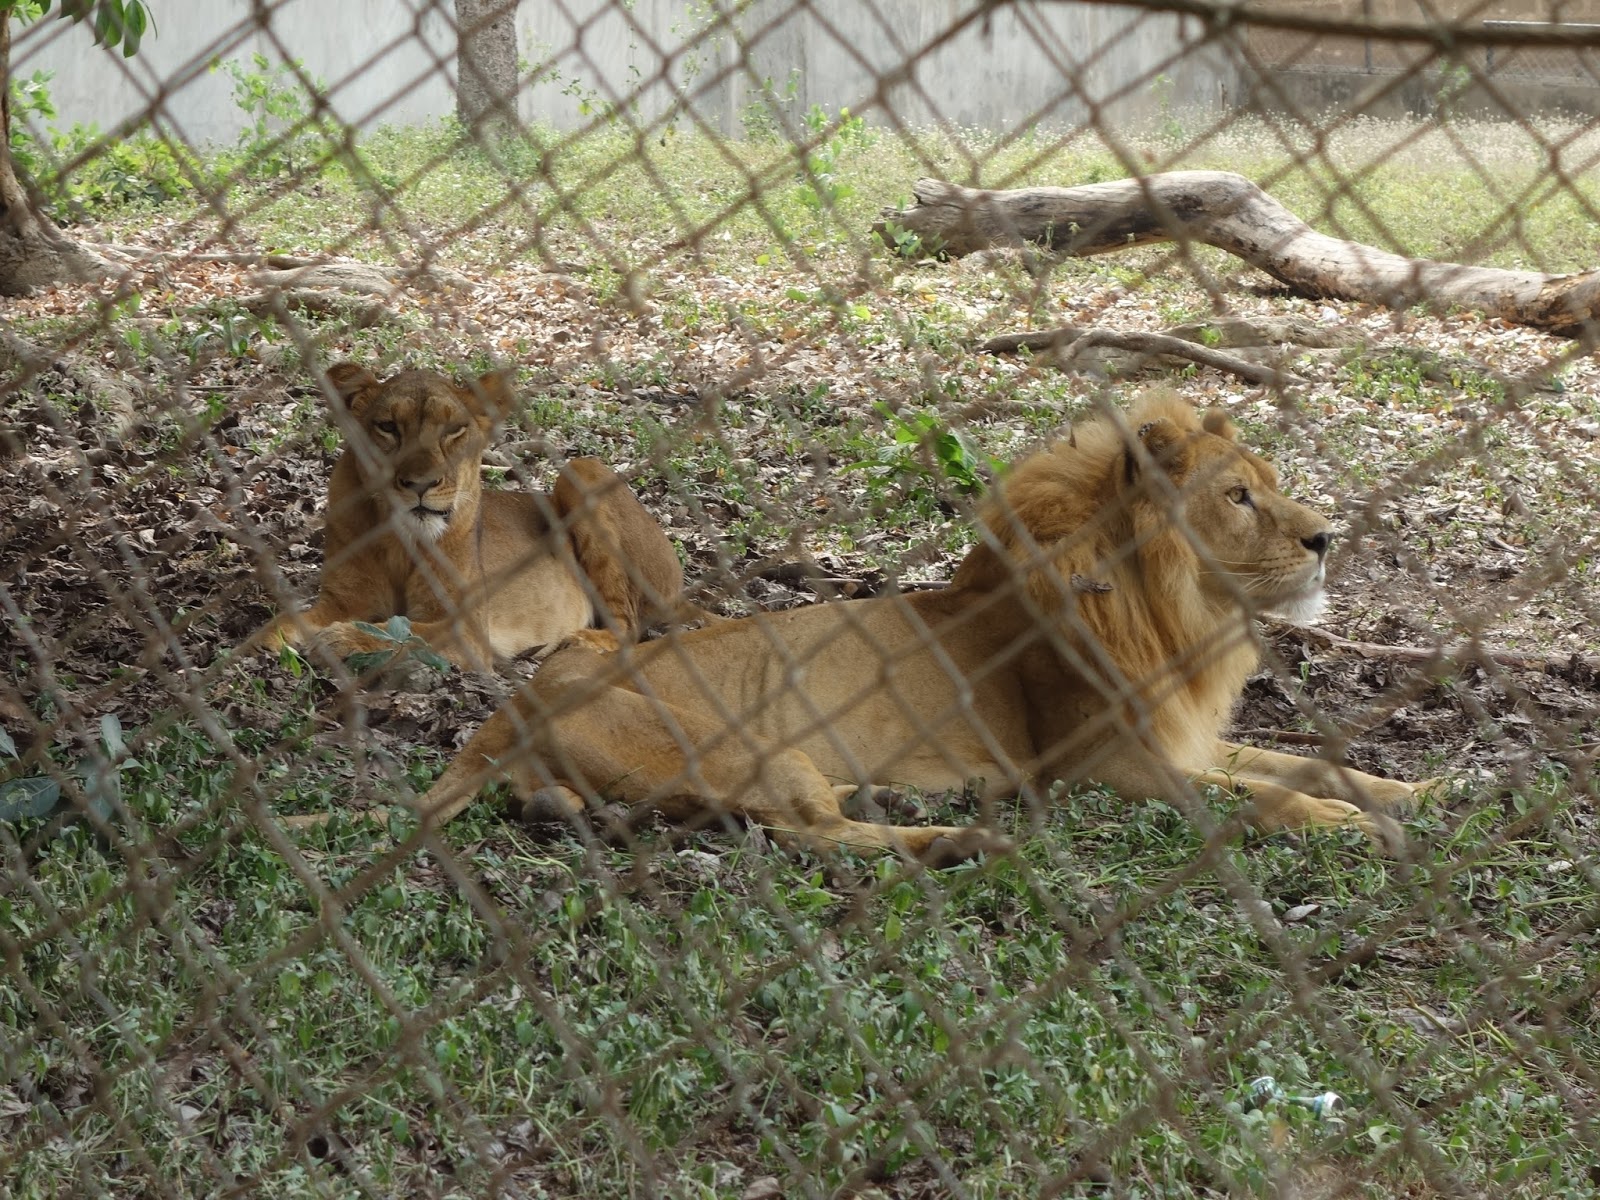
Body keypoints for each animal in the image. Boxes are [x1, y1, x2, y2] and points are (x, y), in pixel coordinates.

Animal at [243, 362, 688, 673]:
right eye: (387, 427)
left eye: (453, 430)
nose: (420, 484)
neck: (399, 542)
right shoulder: (341, 601)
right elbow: (280, 623)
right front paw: (248, 654)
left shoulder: (467, 630)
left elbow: (404, 633)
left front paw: (343, 640)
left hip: (581, 470)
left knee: (628, 626)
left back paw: (577, 642)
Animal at [410, 389, 1429, 862]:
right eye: (1238, 497)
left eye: (1270, 482)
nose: (1326, 537)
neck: (1177, 614)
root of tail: (514, 708)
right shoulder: (1104, 768)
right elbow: (1261, 795)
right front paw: (1353, 823)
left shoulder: (1180, 738)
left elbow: (1299, 761)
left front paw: (1417, 792)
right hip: (756, 748)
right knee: (811, 836)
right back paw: (957, 841)